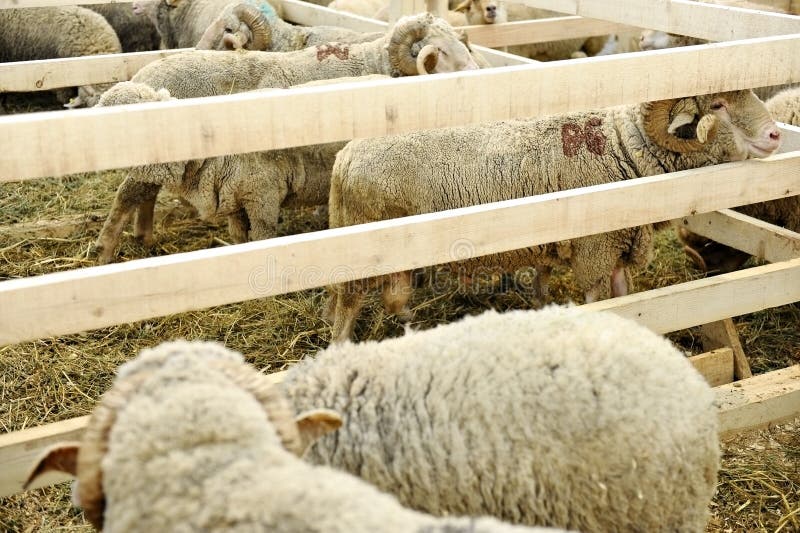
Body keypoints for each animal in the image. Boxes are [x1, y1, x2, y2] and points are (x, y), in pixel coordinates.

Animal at [325, 89, 781, 342]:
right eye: (718, 105)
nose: (777, 134)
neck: (624, 149)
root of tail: (345, 158)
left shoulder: (618, 245)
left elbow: (625, 297)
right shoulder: (593, 249)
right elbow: (598, 301)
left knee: (394, 296)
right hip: (360, 248)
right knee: (348, 307)